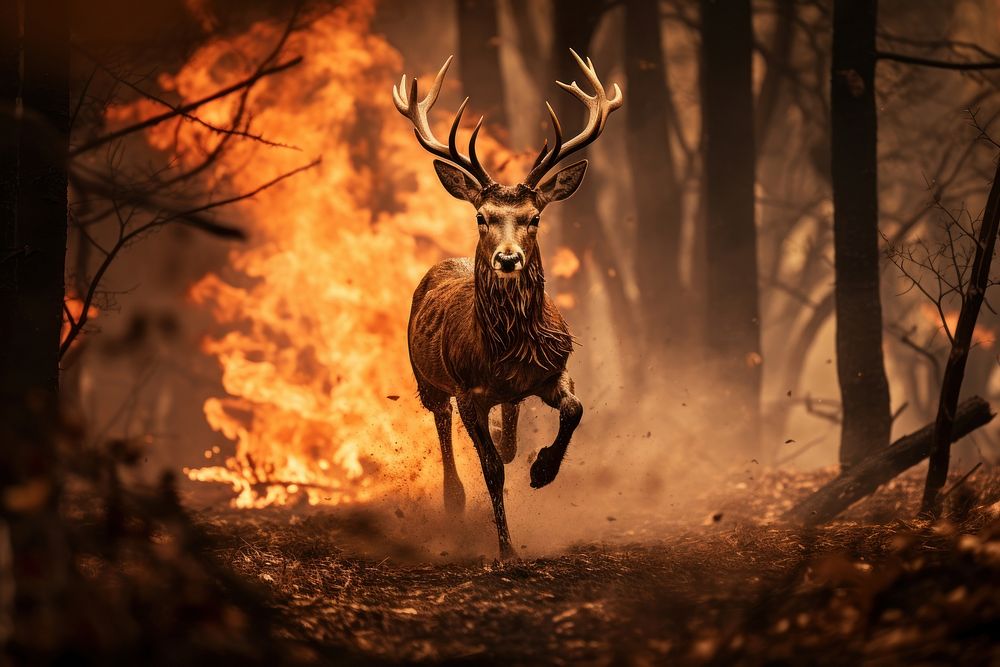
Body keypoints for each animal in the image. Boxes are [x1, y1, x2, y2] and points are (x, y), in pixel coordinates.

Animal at [393, 50, 622, 558]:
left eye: (534, 217)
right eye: (482, 216)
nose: (508, 258)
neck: (509, 348)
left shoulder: (554, 368)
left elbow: (575, 410)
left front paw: (542, 470)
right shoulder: (468, 390)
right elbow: (492, 469)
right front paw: (506, 549)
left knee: (510, 422)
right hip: (428, 379)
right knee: (443, 426)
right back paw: (454, 500)